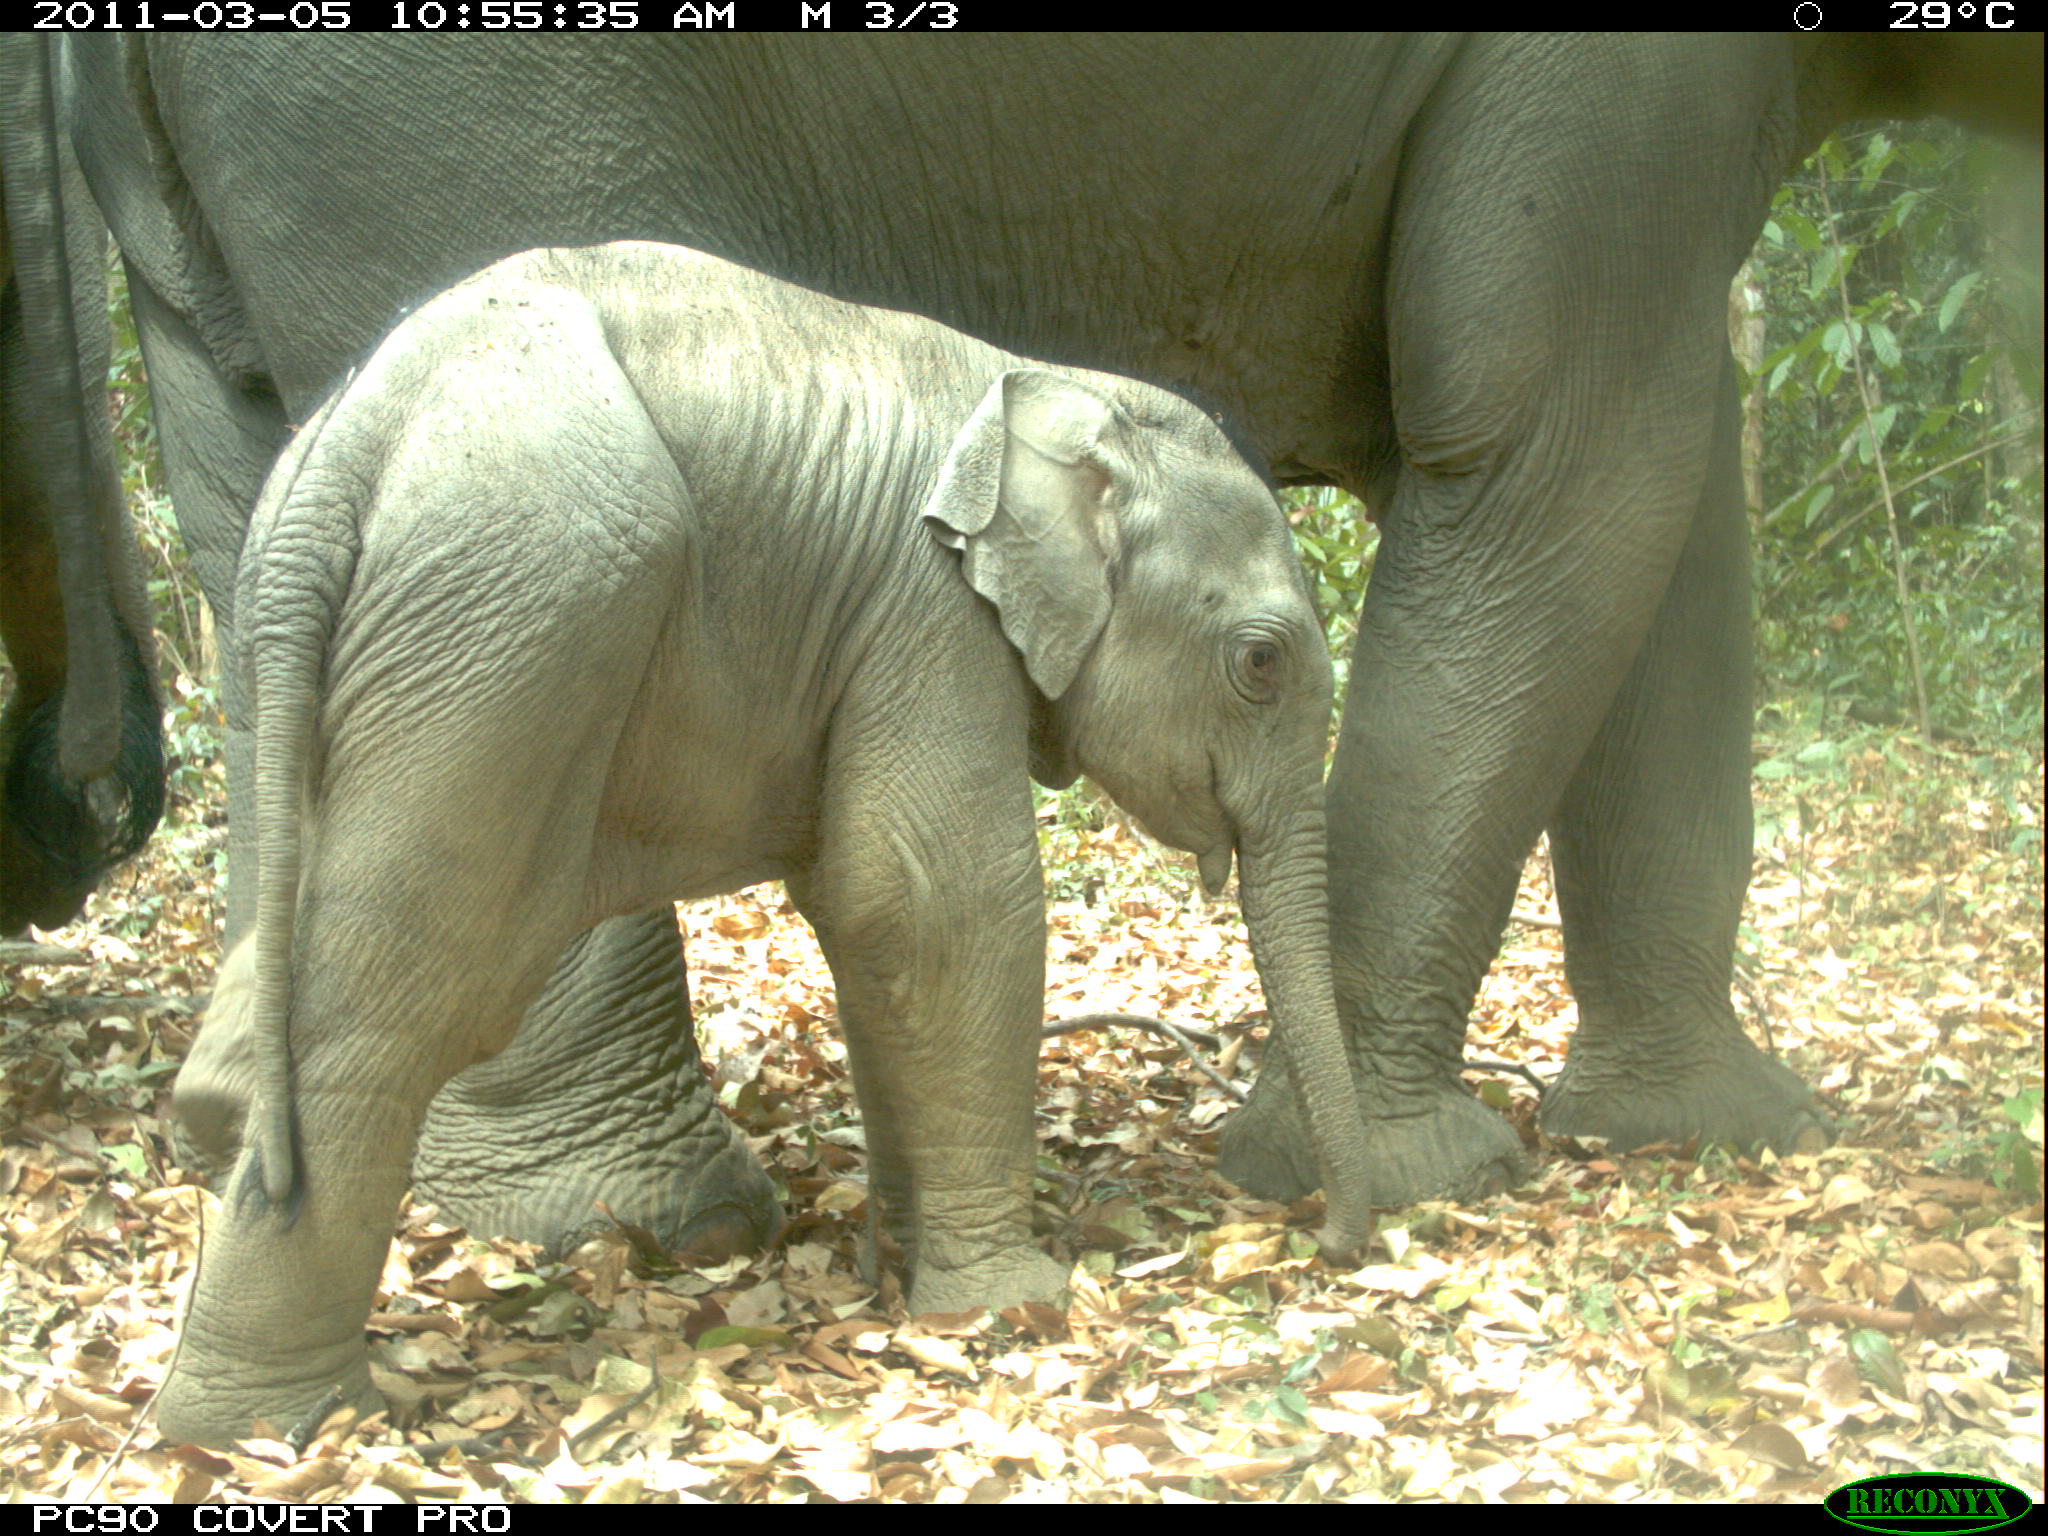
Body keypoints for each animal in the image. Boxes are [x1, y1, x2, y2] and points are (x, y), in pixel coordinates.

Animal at [32, 36, 2046, 1232]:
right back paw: (643, 1220)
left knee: (252, 487)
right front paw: (1428, 1174)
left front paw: (1717, 1129)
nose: (1339, 1245)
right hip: (411, 108)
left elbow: (1666, 485)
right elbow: (1562, 442)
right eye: (1257, 664)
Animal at [156, 240, 1375, 1446]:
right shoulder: (927, 612)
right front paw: (1011, 1302)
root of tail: (349, 446)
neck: (1055, 389)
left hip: (327, 655)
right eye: (1261, 662)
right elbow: (933, 904)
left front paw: (902, 1273)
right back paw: (261, 1427)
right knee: (400, 1009)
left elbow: (863, 916)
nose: (1331, 1242)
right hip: (508, 619)